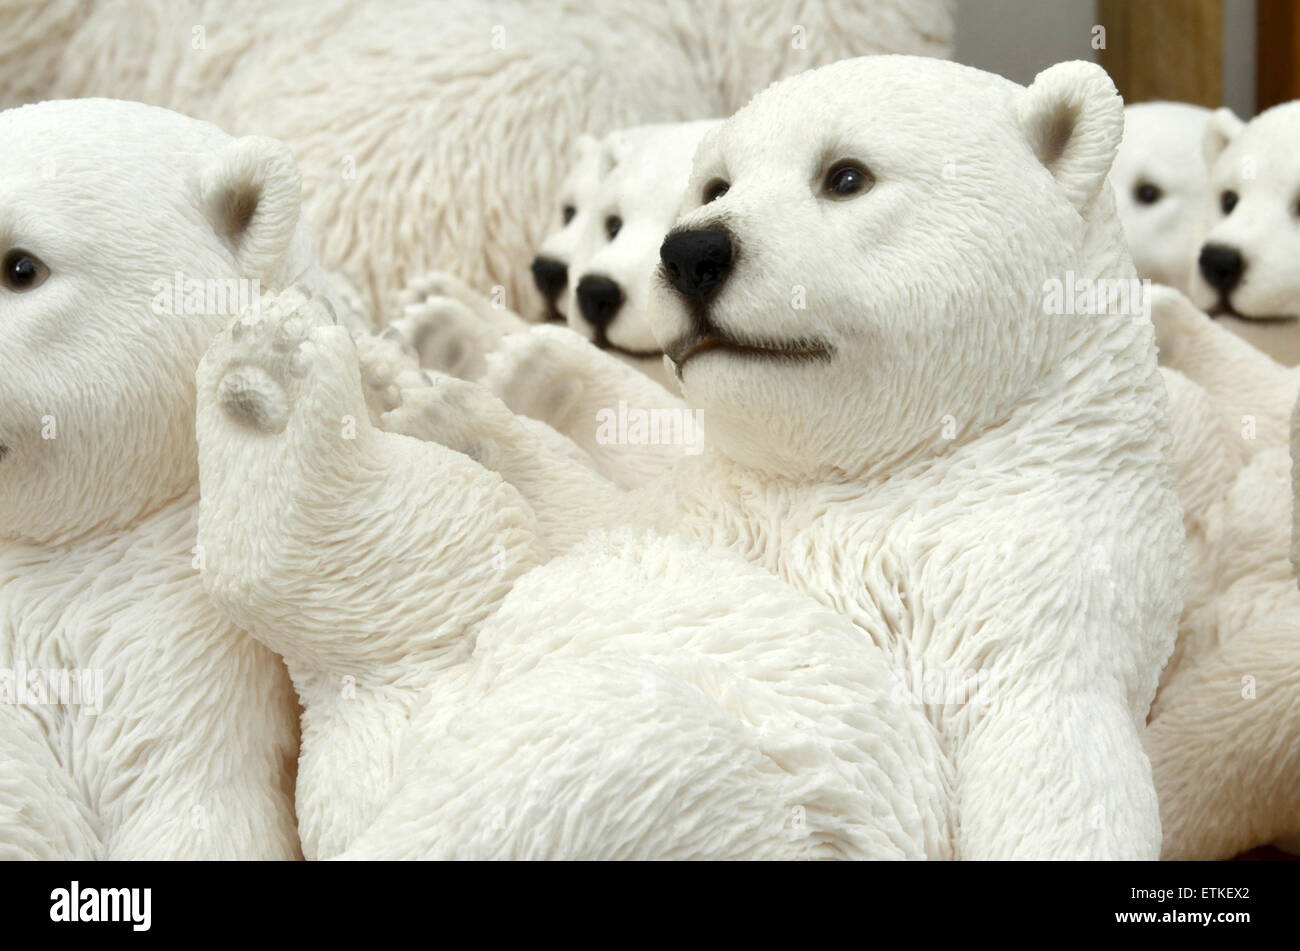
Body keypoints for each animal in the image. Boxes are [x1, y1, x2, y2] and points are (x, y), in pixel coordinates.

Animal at [469, 56, 1185, 859]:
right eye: (716, 184)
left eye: (846, 176)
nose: (692, 253)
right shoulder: (704, 502)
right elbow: (583, 518)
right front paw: (495, 377)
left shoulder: (1027, 574)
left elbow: (1049, 763)